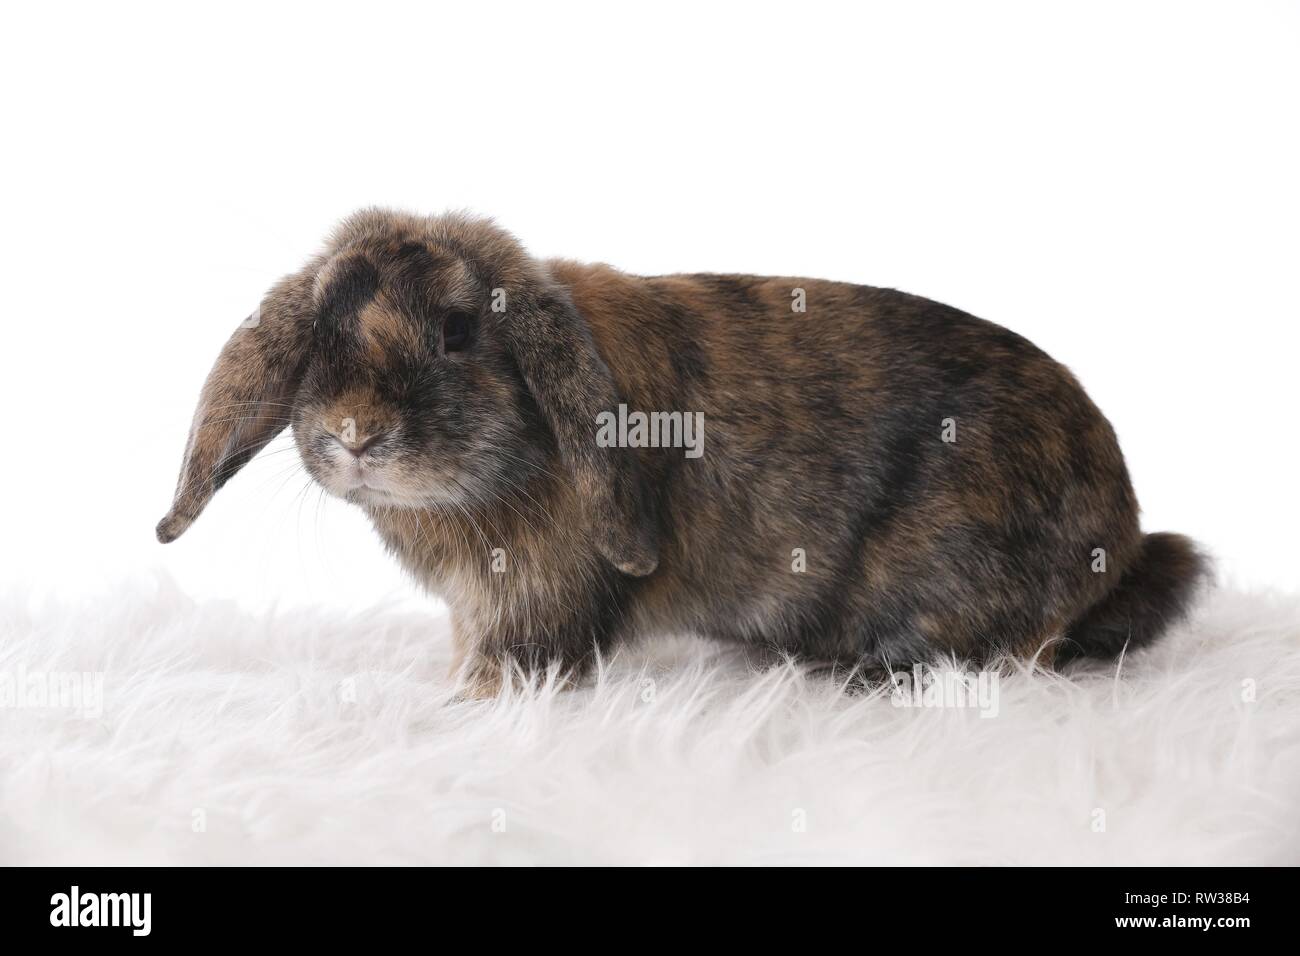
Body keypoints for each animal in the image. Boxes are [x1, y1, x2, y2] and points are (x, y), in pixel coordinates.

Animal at [158, 208, 1208, 695]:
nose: (354, 434)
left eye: (458, 333)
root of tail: (1122, 534)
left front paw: (464, 704)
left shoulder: (536, 596)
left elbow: (518, 657)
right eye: (320, 331)